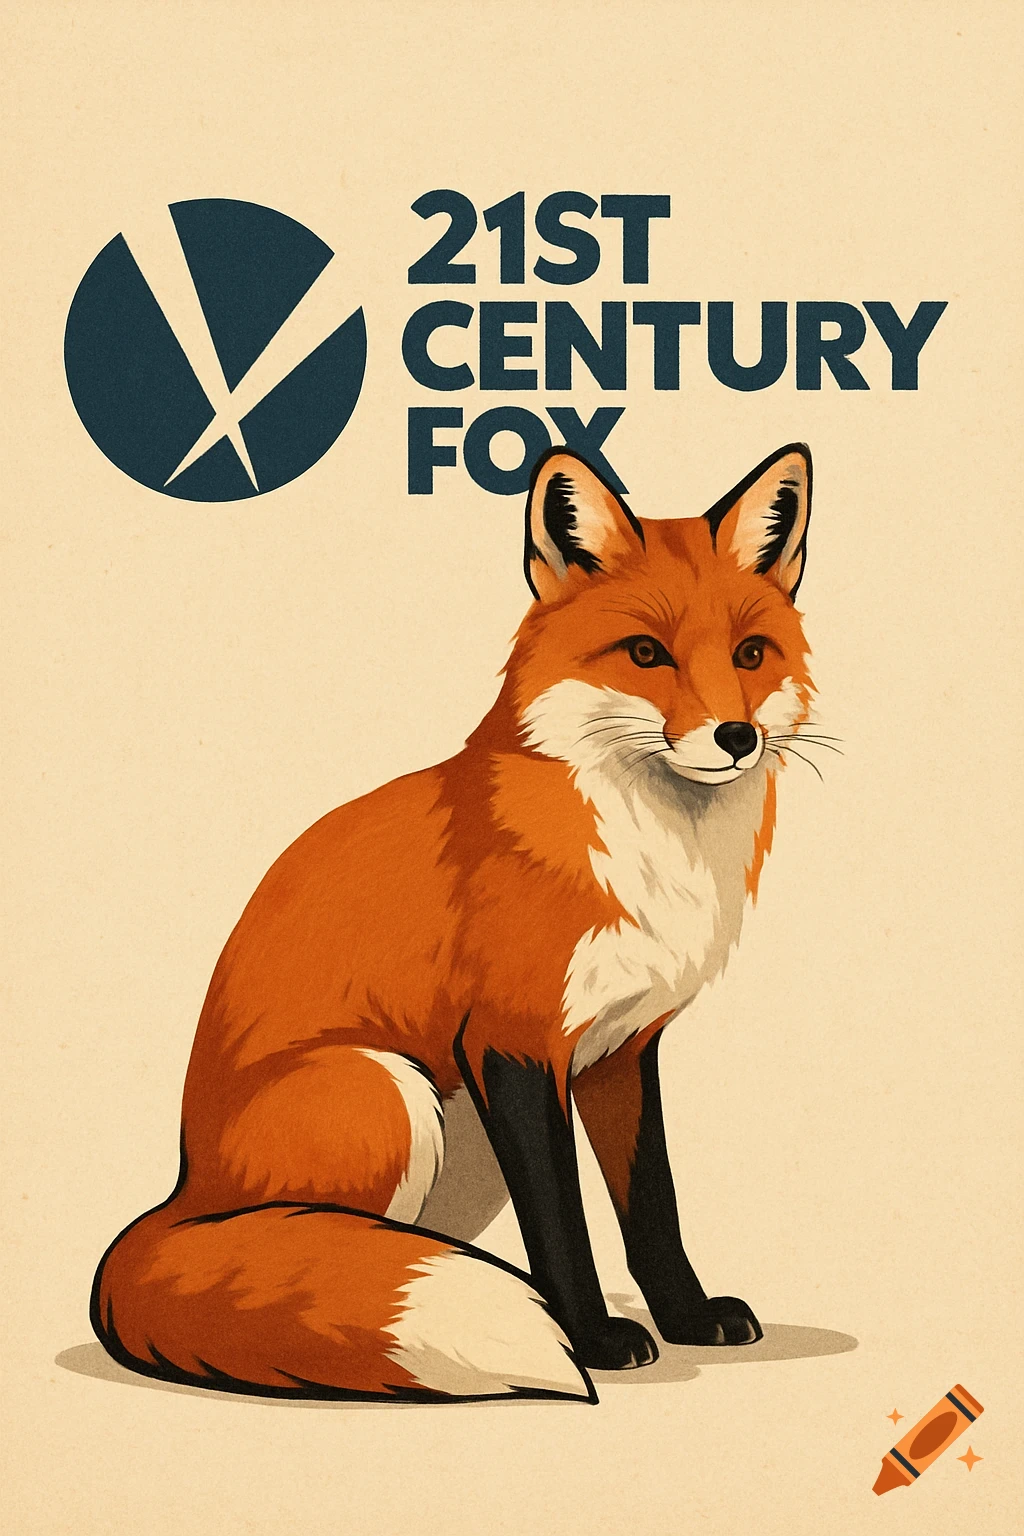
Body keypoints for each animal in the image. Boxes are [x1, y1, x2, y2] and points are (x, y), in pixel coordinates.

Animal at [92, 441, 817, 1404]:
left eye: (749, 653)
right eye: (646, 653)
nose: (736, 736)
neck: (650, 852)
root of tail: (182, 1192)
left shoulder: (620, 1051)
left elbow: (651, 1202)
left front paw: (689, 1317)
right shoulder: (512, 1044)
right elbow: (563, 1221)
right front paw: (591, 1337)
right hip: (391, 1092)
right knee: (305, 1248)